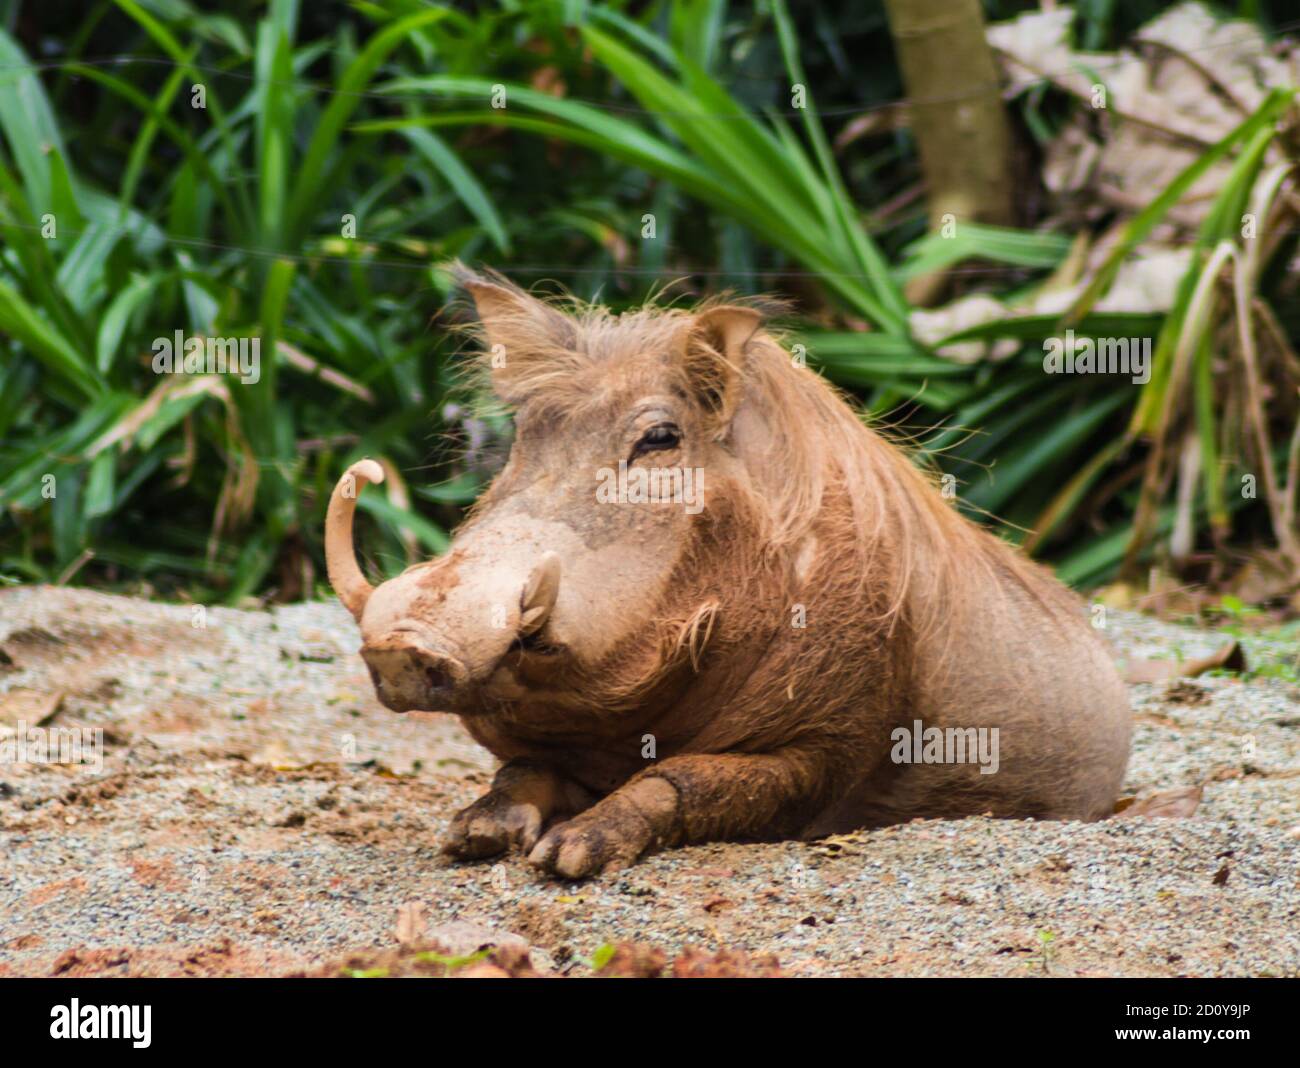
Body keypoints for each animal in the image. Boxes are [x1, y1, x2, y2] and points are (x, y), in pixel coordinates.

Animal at [325, 268, 1132, 879]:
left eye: (659, 438)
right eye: (526, 434)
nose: (403, 643)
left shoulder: (818, 756)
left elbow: (675, 782)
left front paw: (572, 851)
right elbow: (520, 774)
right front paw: (476, 835)